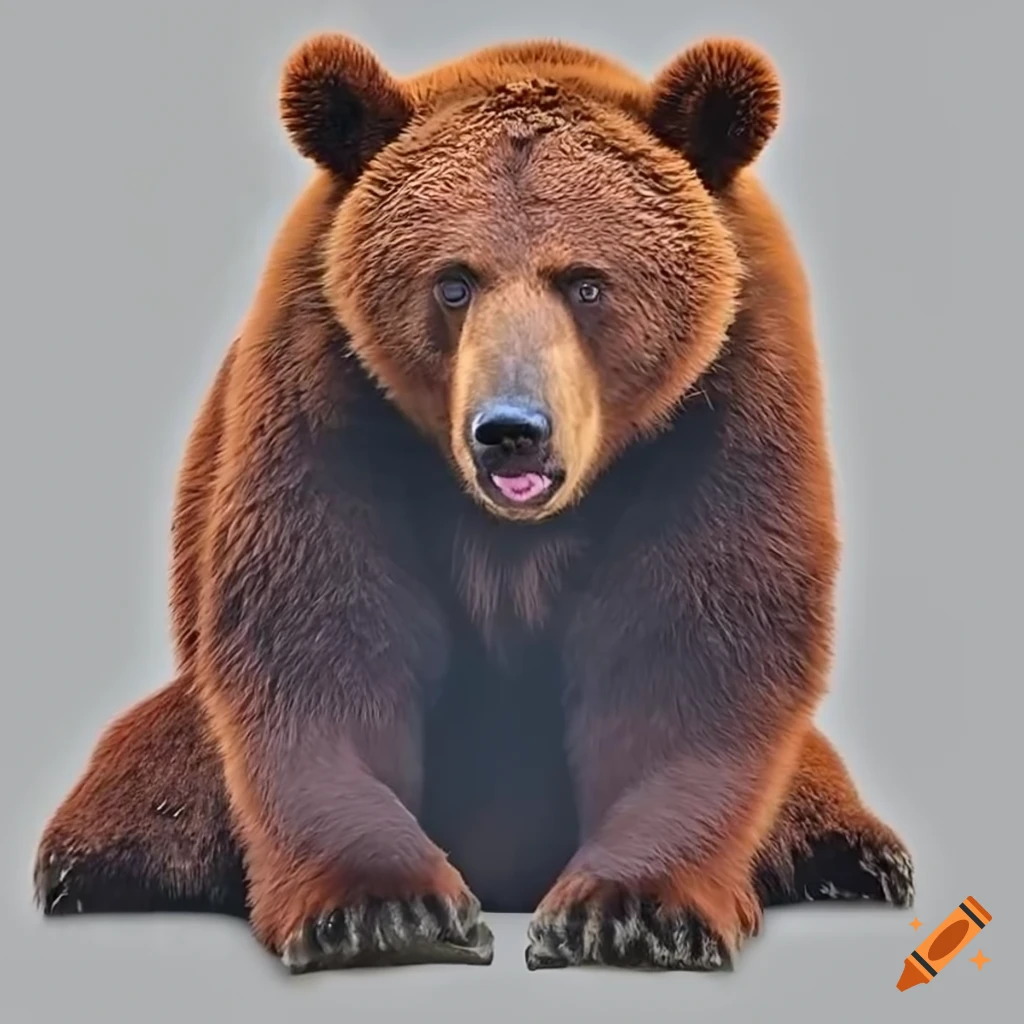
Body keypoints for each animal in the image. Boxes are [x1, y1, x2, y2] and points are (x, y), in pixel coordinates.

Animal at [34, 32, 914, 973]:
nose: (511, 432)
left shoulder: (728, 399)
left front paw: (631, 910)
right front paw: (385, 908)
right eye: (453, 282)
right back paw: (82, 866)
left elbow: (692, 647)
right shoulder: (325, 390)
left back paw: (856, 855)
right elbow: (320, 635)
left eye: (587, 282)